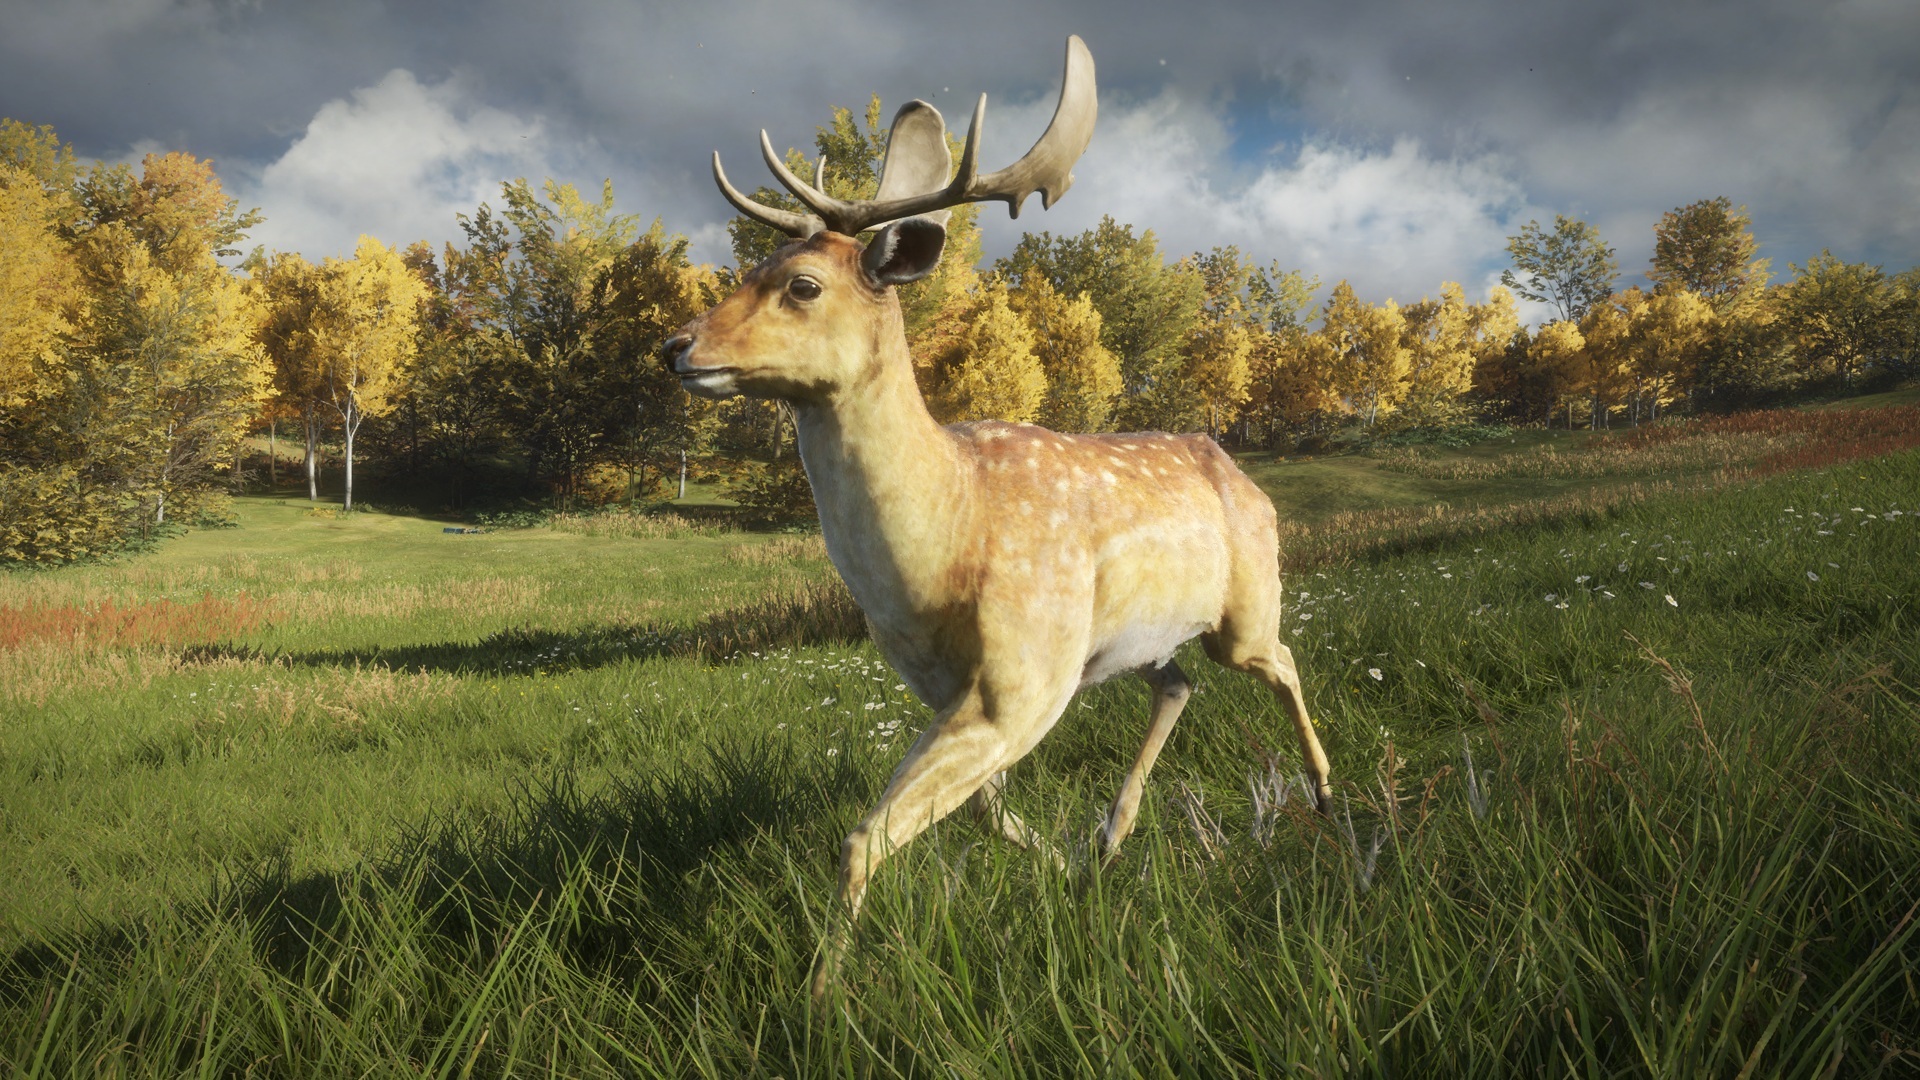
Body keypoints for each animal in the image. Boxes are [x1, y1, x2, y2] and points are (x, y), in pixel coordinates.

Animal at [662, 35, 1333, 997]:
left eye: (802, 286)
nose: (676, 347)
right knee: (1177, 683)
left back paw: (1326, 793)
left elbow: (864, 837)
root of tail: (1243, 471)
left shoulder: (1022, 677)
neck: (945, 543)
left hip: (1244, 602)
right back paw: (1111, 839)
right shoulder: (948, 684)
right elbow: (980, 815)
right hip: (1129, 638)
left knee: (1279, 661)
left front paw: (822, 995)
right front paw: (1059, 865)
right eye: (744, 271)